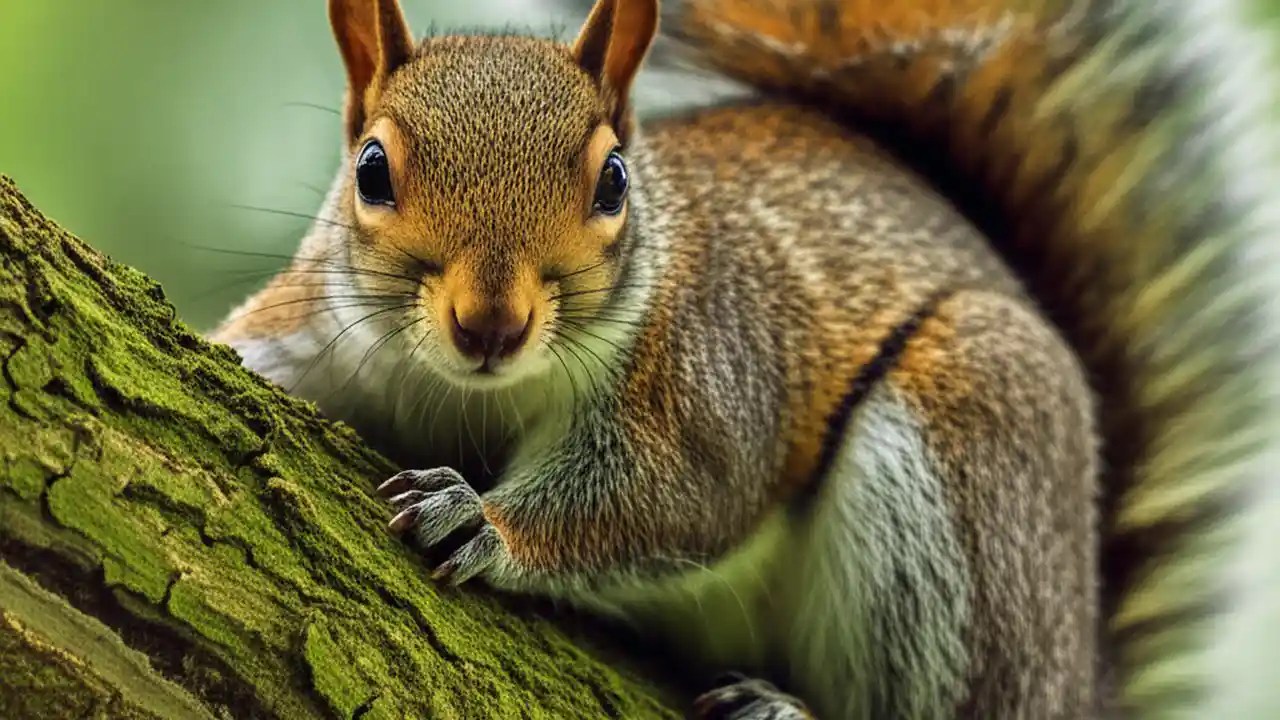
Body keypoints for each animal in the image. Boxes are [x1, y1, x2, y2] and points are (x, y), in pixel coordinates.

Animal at [211, 0, 1280, 717]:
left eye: (614, 181)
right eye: (371, 171)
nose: (490, 324)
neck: (466, 391)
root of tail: (1079, 666)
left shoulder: (710, 382)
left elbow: (678, 497)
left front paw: (483, 521)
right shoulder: (318, 334)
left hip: (972, 458)